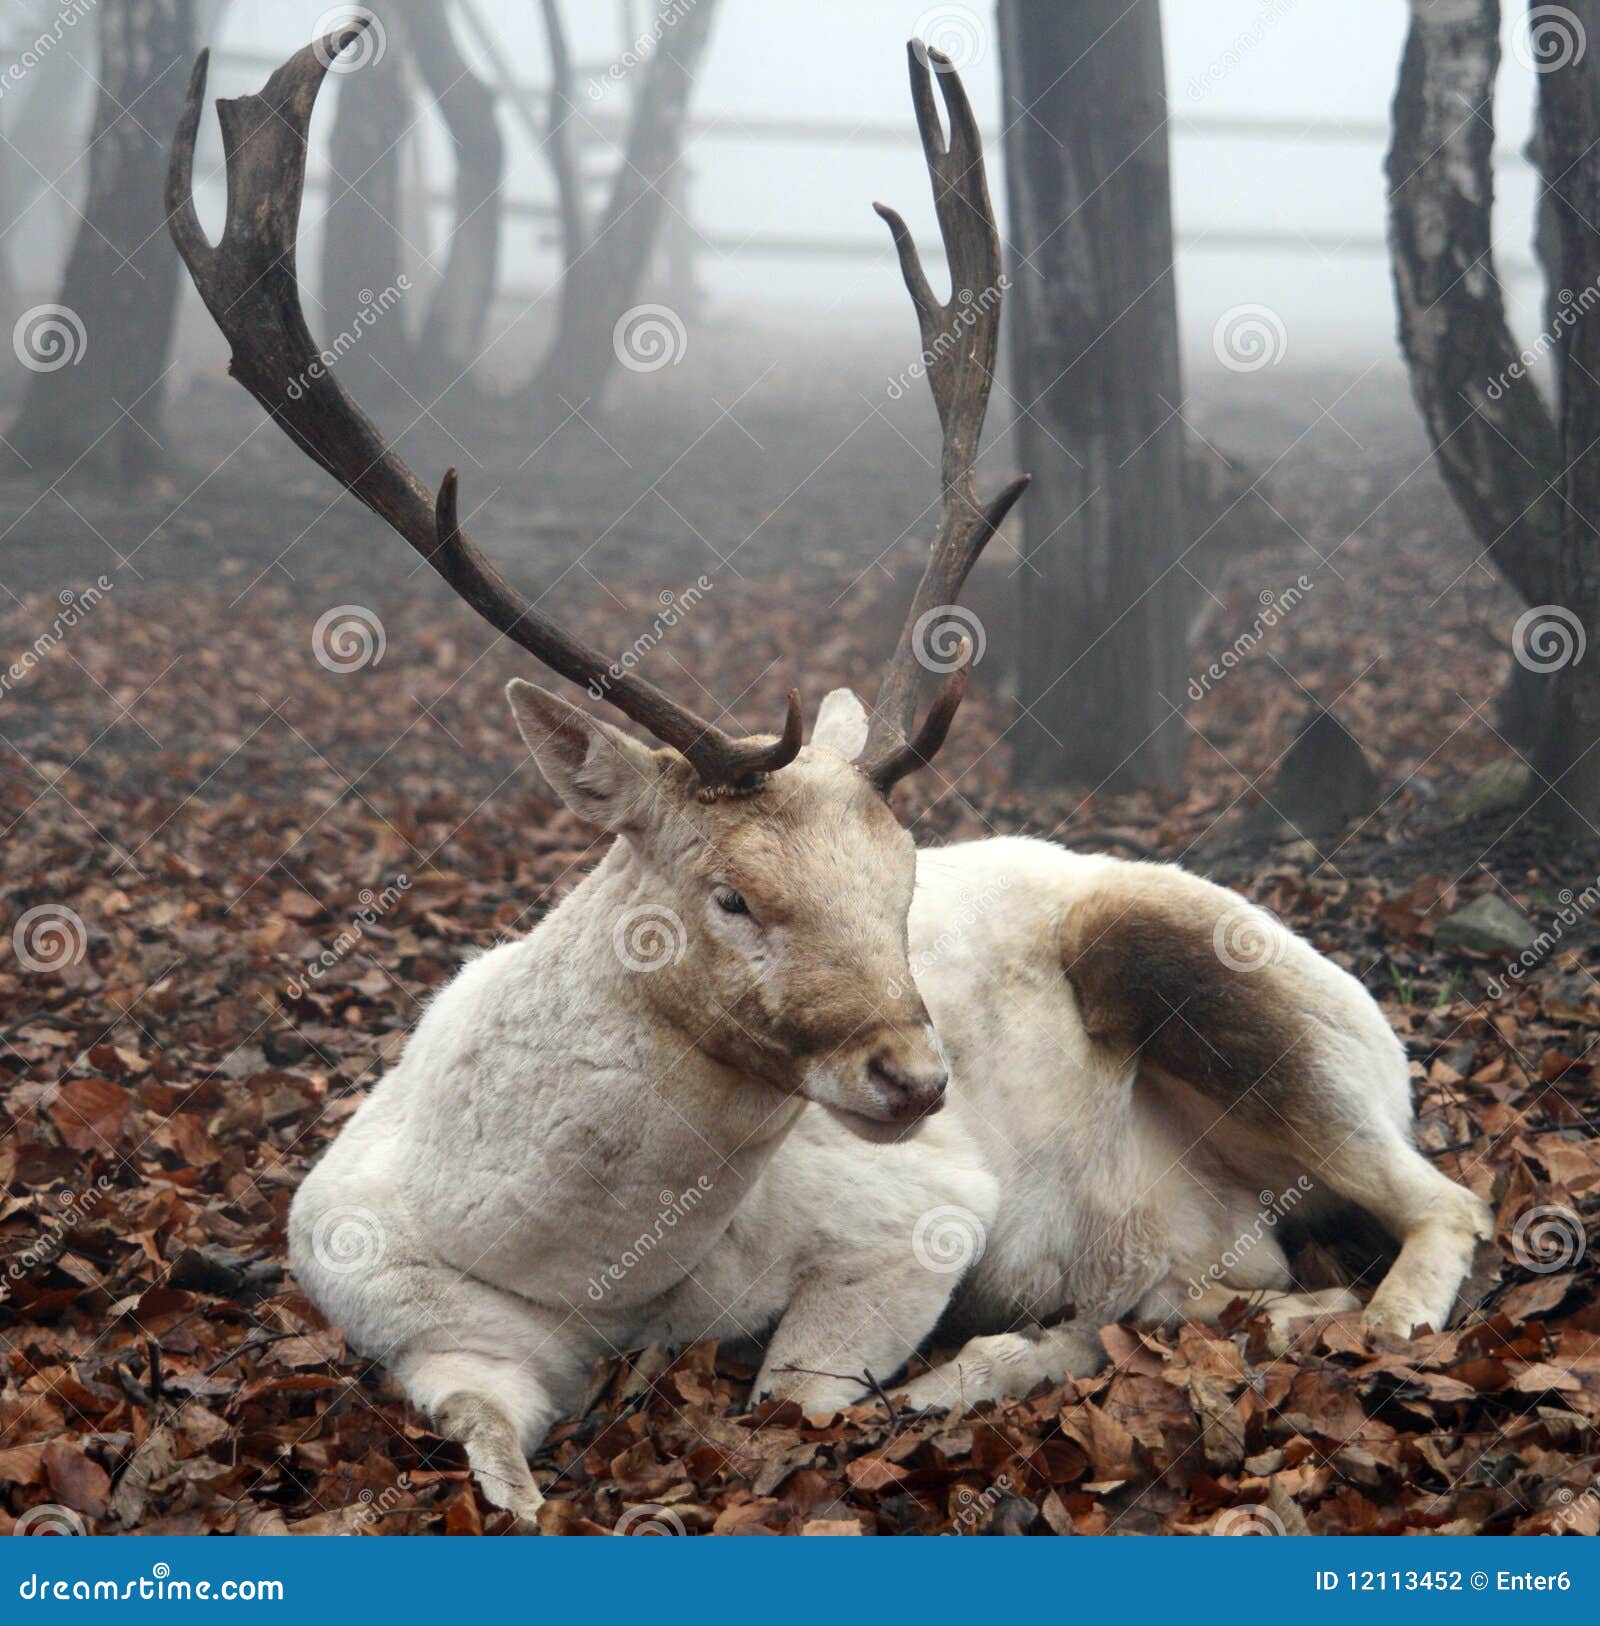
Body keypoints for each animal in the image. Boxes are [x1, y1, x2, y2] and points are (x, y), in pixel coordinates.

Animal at [168, 26, 1493, 1528]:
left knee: (1441, 1205)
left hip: (1240, 990)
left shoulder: (912, 1221)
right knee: (1252, 1270)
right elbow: (494, 1457)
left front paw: (935, 1380)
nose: (920, 1076)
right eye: (733, 895)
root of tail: (1382, 1027)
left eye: (905, 877)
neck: (587, 1275)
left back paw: (1329, 1323)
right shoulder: (406, 1321)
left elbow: (796, 1398)